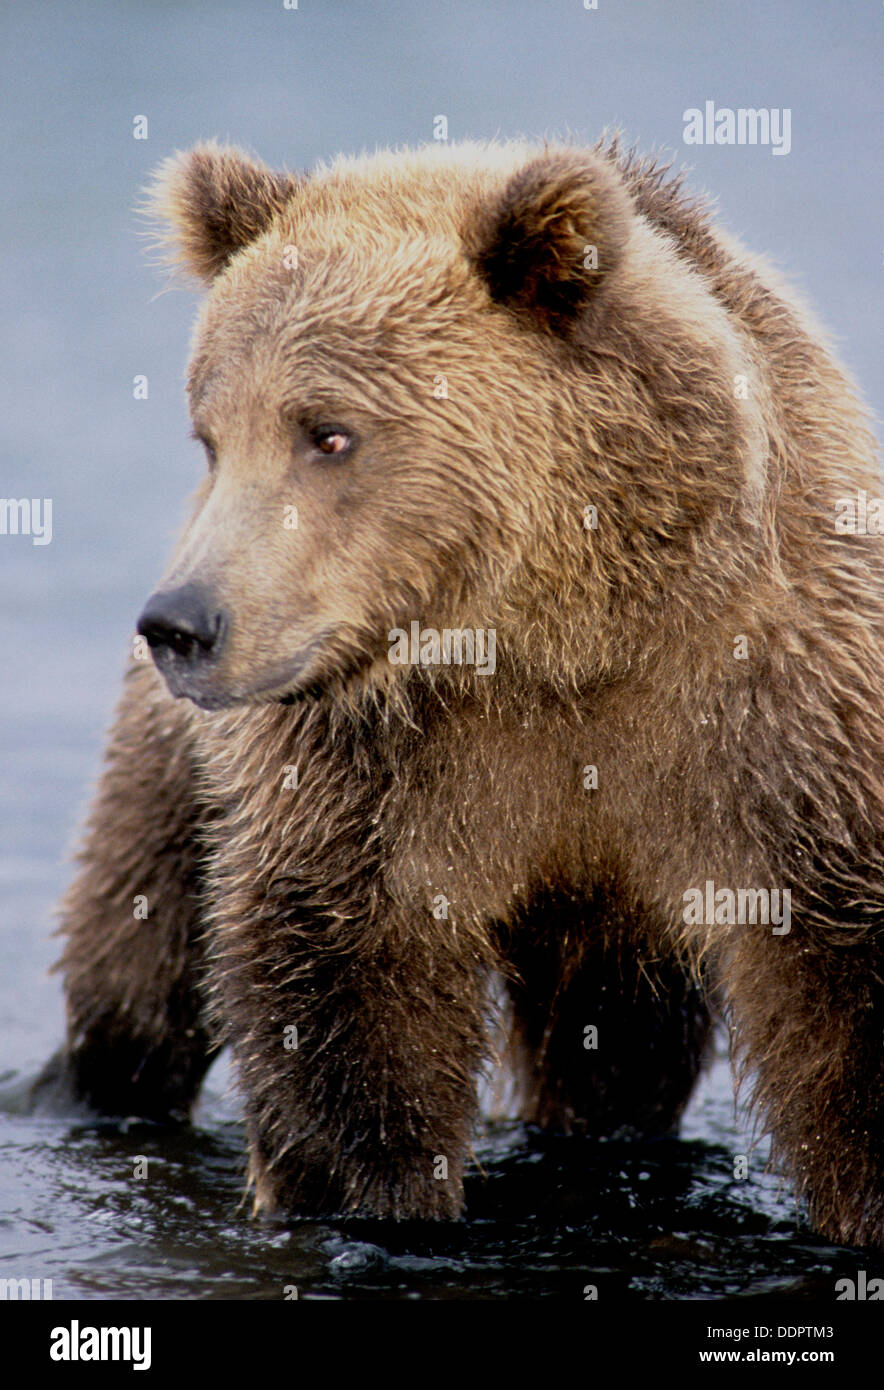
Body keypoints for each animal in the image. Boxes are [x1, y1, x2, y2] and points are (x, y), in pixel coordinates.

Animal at [37, 135, 884, 1248]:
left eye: (328, 432)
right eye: (209, 434)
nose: (181, 623)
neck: (560, 635)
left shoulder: (777, 710)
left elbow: (842, 973)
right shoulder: (369, 765)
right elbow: (344, 986)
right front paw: (372, 1196)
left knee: (615, 1043)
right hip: (178, 762)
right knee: (136, 950)